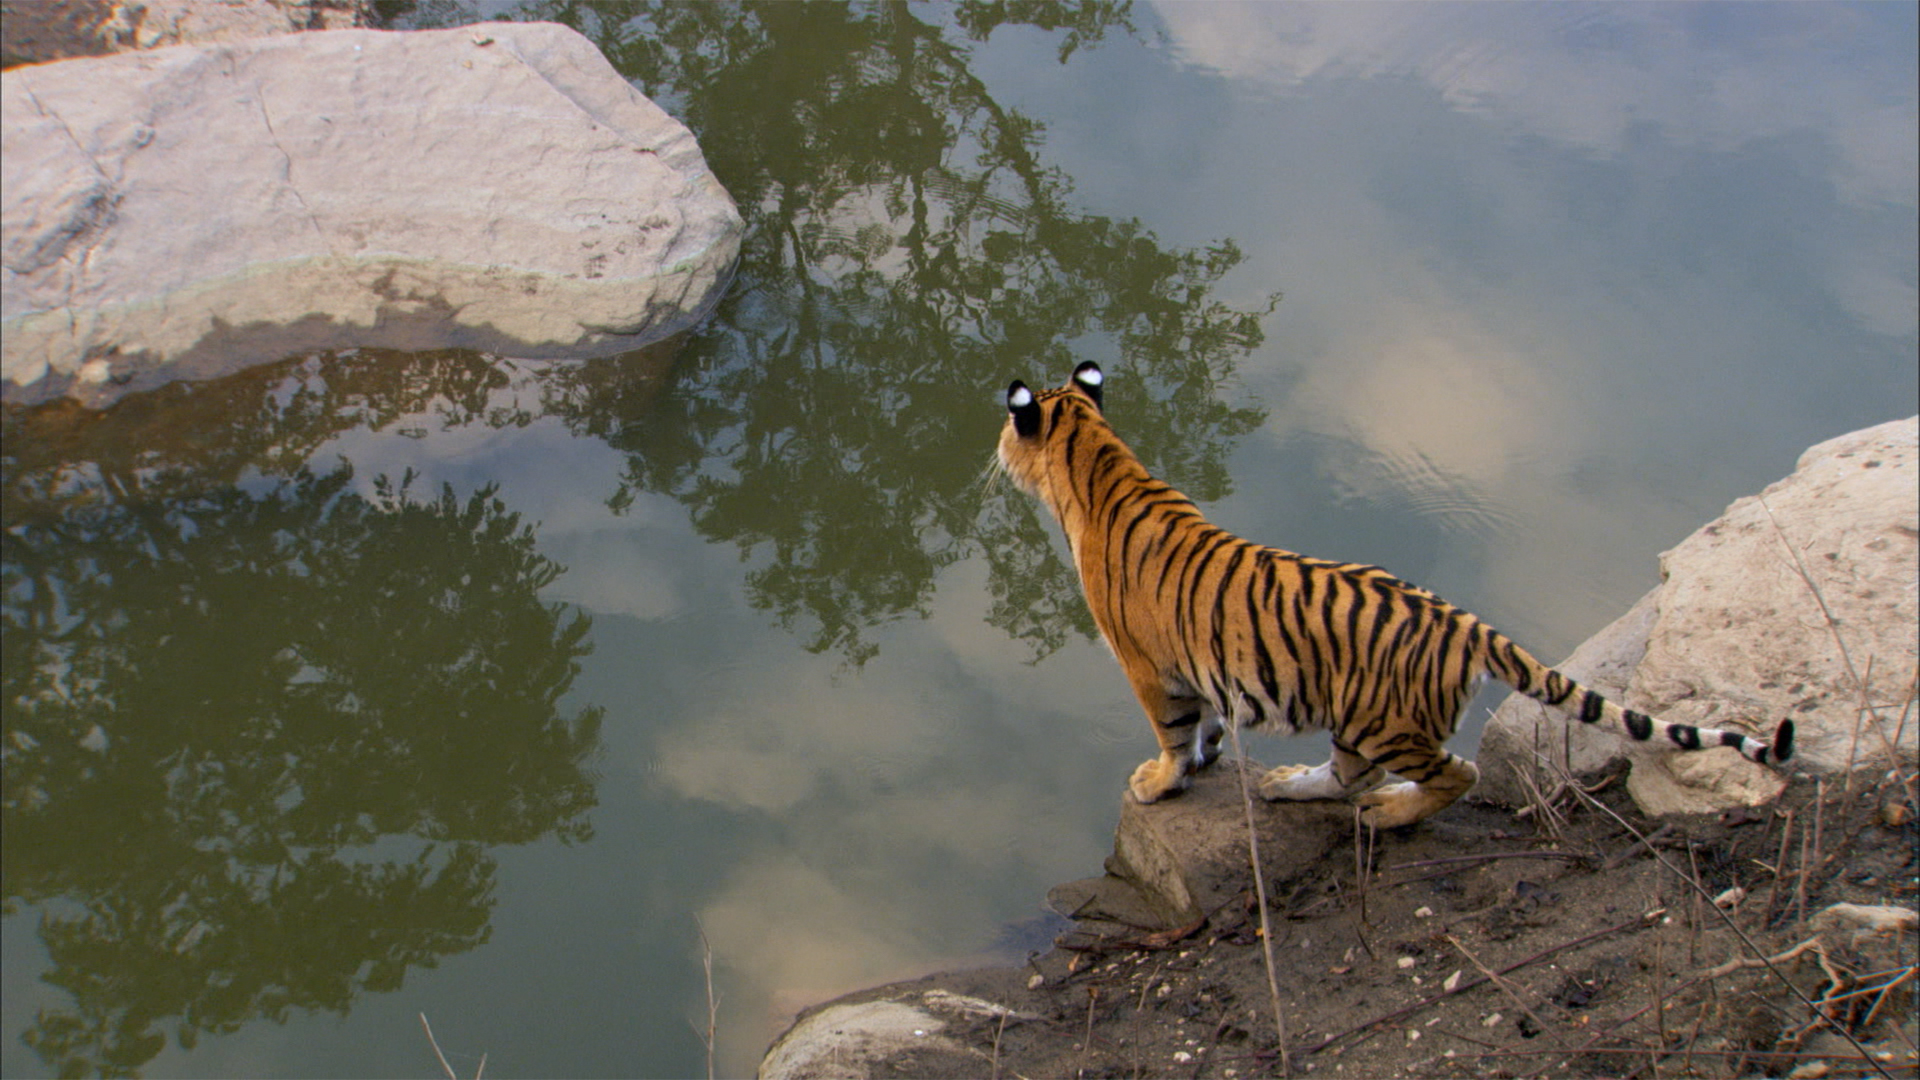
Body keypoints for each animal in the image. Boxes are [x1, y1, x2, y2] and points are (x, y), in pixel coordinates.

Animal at [995, 361, 1795, 828]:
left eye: (1006, 427)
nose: (994, 451)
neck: (1097, 460)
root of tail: (1469, 625)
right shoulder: (1200, 665)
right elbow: (1210, 724)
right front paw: (1207, 759)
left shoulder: (1149, 669)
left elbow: (1172, 732)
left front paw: (1159, 780)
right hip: (1356, 719)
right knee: (1346, 776)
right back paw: (1290, 783)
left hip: (1389, 724)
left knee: (1453, 774)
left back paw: (1388, 814)